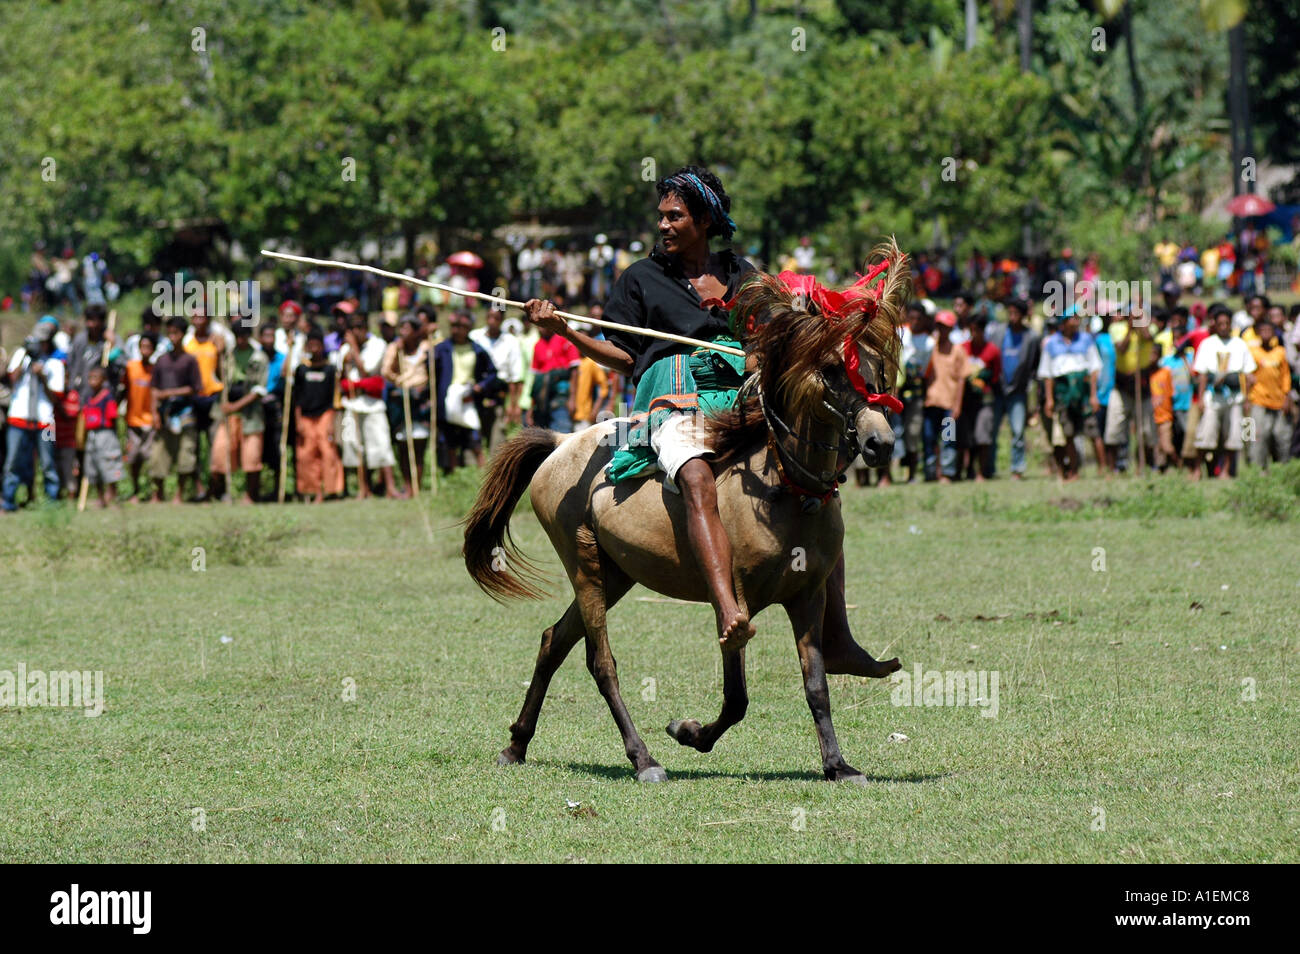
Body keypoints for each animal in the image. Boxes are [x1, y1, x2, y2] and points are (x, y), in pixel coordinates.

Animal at [463, 242, 910, 783]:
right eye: (830, 370)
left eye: (879, 371)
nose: (879, 442)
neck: (784, 486)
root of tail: (561, 441)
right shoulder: (735, 600)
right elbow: (737, 696)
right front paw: (689, 732)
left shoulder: (807, 595)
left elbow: (816, 685)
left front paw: (838, 765)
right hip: (583, 563)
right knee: (600, 661)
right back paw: (643, 759)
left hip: (616, 573)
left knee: (554, 641)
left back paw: (517, 744)